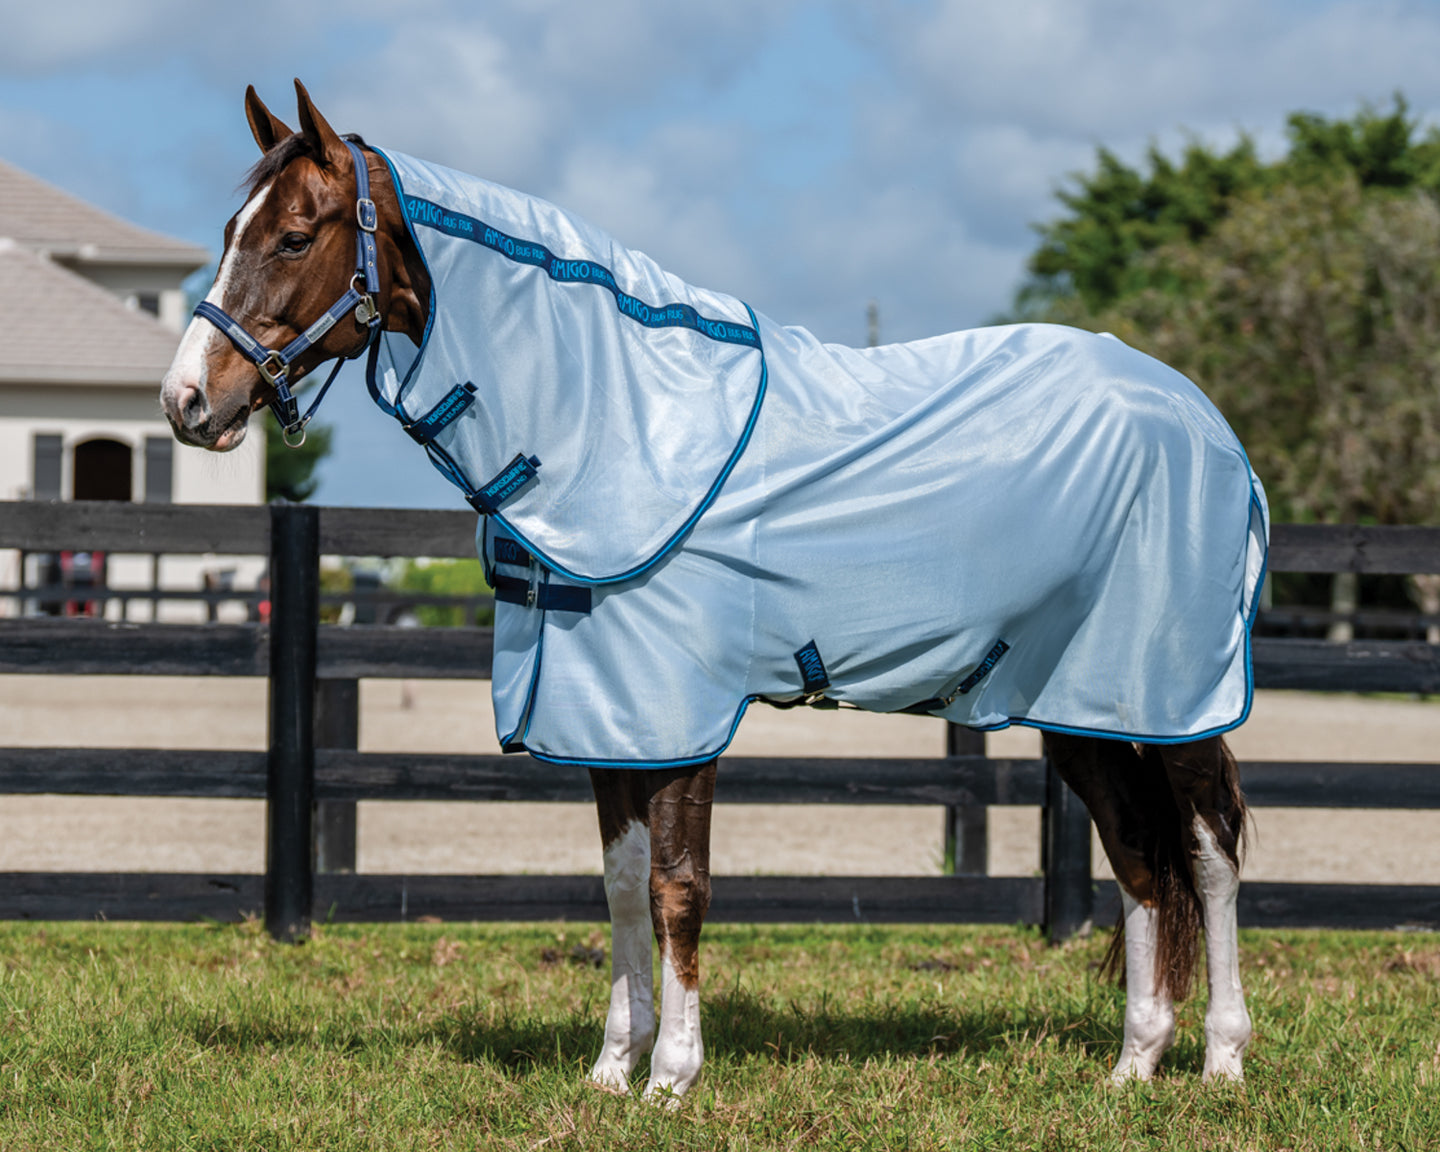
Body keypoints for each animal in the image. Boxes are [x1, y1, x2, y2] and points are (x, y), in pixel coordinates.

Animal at [160, 81, 1262, 1097]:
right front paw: (613, 1067)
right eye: (229, 233)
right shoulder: (606, 717)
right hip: (1082, 706)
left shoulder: (677, 714)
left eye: (294, 236)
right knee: (1139, 858)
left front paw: (674, 1077)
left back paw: (1221, 1061)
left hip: (1178, 703)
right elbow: (619, 886)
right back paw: (1133, 1066)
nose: (186, 403)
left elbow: (678, 888)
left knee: (1208, 853)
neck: (614, 416)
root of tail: (1201, 419)